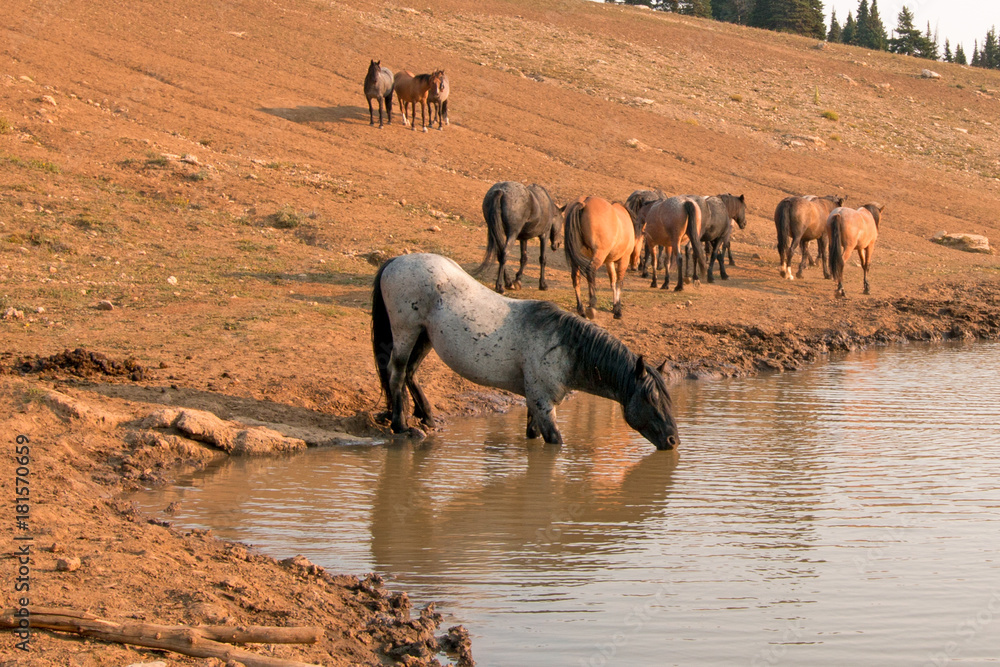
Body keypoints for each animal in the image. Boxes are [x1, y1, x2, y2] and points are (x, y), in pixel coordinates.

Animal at [371, 253, 679, 449]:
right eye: (651, 399)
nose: (673, 440)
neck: (565, 347)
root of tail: (396, 261)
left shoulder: (533, 402)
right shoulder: (544, 405)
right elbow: (555, 442)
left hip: (424, 337)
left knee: (410, 373)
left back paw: (427, 416)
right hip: (406, 332)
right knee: (396, 373)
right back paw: (401, 426)